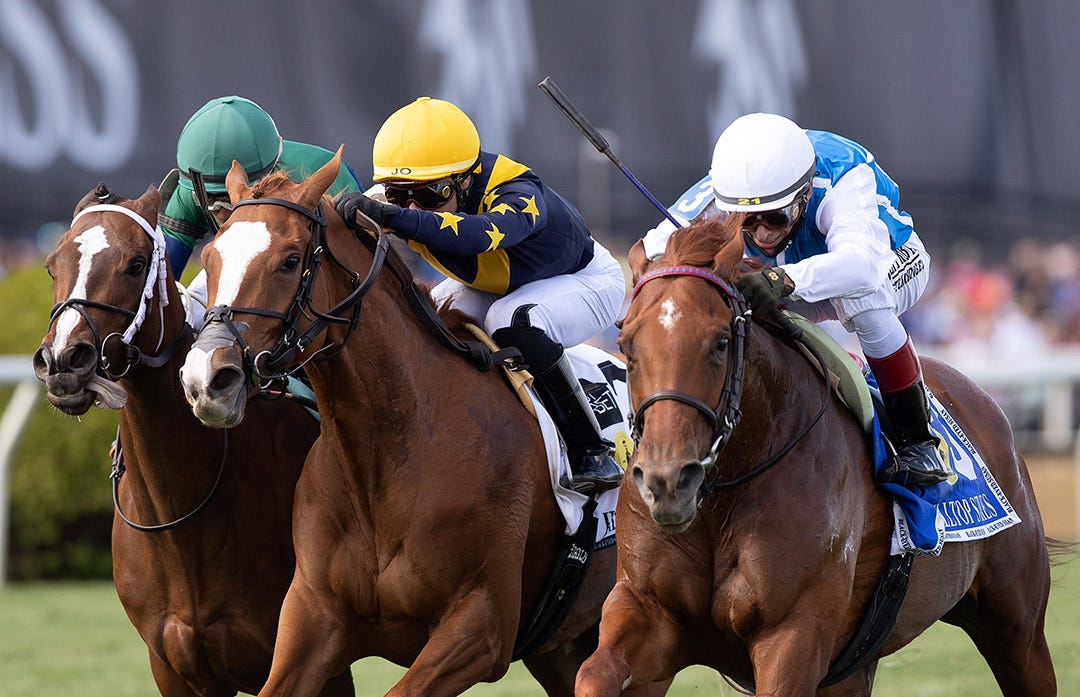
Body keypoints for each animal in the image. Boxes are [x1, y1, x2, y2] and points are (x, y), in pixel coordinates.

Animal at [32, 184, 353, 696]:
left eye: (136, 264)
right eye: (51, 264)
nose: (63, 359)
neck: (183, 521)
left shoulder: (319, 655)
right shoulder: (175, 667)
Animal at [175, 149, 672, 697]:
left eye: (288, 261)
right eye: (211, 257)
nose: (206, 379)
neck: (394, 447)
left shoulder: (481, 627)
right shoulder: (314, 615)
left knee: (524, 319)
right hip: (564, 648)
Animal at [575, 218, 1057, 696]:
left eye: (720, 342)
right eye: (625, 342)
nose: (668, 481)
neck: (721, 498)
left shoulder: (795, 634)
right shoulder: (649, 610)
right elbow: (592, 674)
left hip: (1017, 630)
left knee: (869, 307)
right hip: (854, 669)